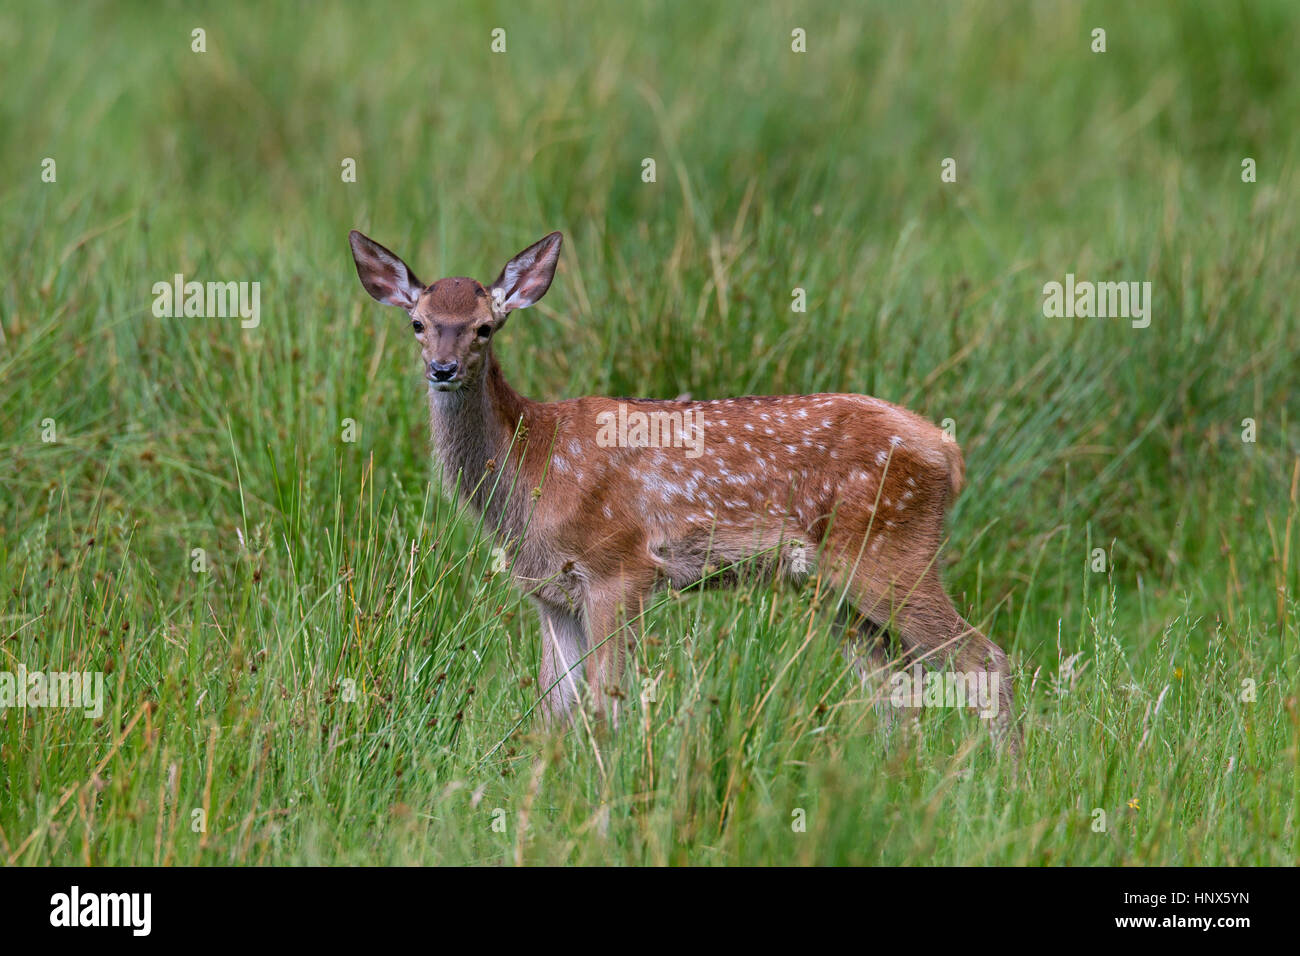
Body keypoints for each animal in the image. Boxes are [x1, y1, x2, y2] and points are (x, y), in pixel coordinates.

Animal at [348, 229, 1016, 751]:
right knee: (894, 684)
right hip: (836, 589)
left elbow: (608, 704)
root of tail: (949, 452)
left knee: (984, 659)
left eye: (486, 327)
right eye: (418, 323)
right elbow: (554, 711)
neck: (533, 471)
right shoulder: (548, 592)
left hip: (892, 550)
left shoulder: (619, 564)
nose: (442, 369)